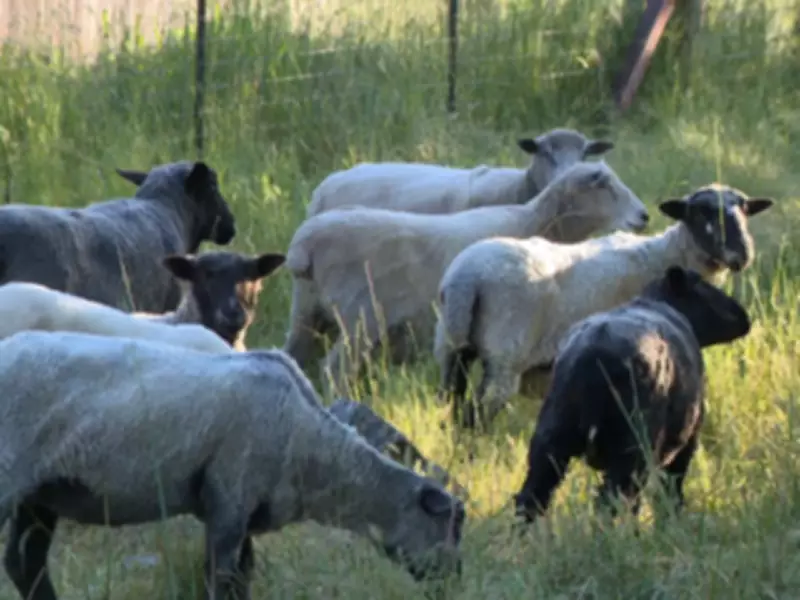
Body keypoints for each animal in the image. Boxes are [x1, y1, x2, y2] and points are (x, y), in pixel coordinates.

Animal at [0, 332, 466, 600]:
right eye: (451, 526)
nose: (453, 583)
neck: (313, 448)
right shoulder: (229, 499)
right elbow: (221, 580)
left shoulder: (246, 513)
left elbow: (243, 579)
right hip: (10, 477)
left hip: (41, 494)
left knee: (25, 563)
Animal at [284, 159, 650, 397]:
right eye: (605, 185)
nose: (644, 216)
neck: (534, 222)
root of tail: (304, 243)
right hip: (359, 320)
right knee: (335, 371)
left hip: (306, 311)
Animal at [434, 184, 774, 429]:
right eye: (702, 213)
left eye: (745, 211)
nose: (742, 255)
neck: (663, 255)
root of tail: (467, 276)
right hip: (505, 355)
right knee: (476, 416)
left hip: (453, 347)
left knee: (450, 402)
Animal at [513, 265, 752, 524]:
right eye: (701, 284)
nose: (744, 317)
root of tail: (594, 357)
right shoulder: (686, 440)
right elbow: (671, 490)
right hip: (632, 444)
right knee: (615, 500)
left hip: (552, 436)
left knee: (532, 497)